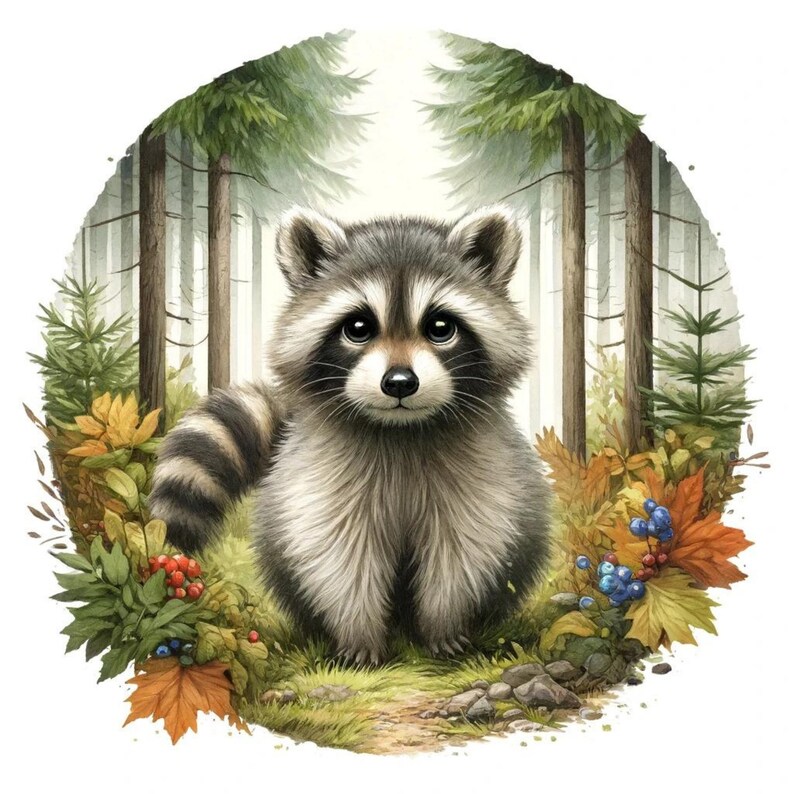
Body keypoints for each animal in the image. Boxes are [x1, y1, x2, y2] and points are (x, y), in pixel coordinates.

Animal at [149, 205, 551, 664]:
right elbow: (337, 555)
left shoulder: (480, 473)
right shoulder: (322, 477)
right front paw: (358, 636)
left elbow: (463, 549)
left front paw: (444, 624)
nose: (399, 382)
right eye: (358, 328)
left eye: (440, 327)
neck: (400, 431)